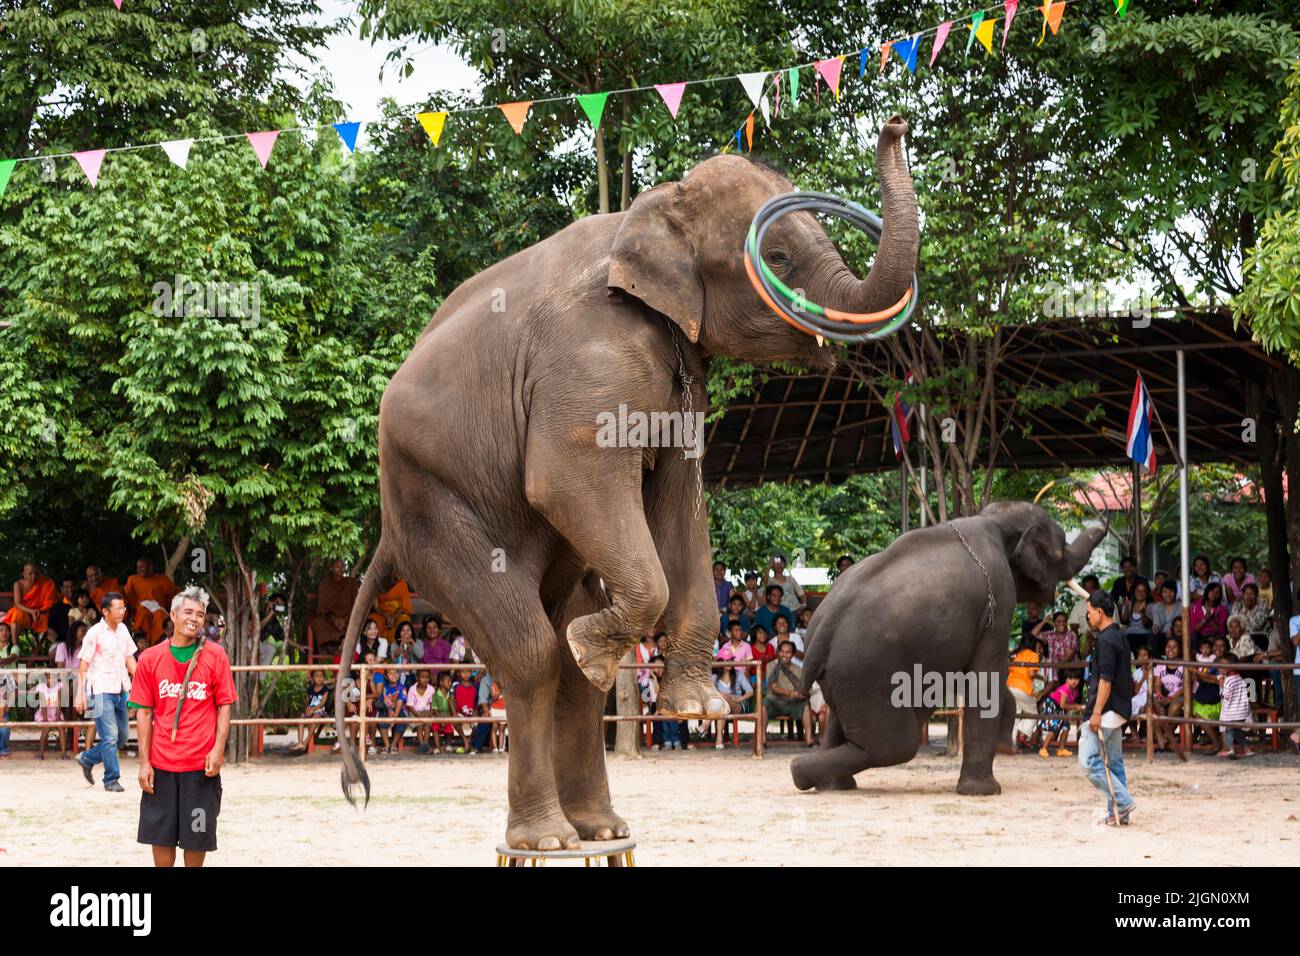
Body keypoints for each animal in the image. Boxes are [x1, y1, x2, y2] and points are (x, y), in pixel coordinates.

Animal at [334, 115, 921, 850]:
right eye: (779, 258)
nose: (896, 125)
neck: (652, 211)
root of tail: (387, 530)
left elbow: (679, 493)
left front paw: (699, 705)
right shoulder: (586, 360)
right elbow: (566, 481)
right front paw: (601, 650)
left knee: (561, 660)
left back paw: (600, 826)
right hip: (435, 509)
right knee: (530, 653)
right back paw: (549, 836)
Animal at [790, 501, 1105, 796]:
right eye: (1060, 547)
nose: (1103, 524)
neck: (993, 520)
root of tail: (823, 624)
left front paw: (1005, 747)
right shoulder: (999, 598)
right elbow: (987, 677)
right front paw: (984, 791)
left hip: (844, 678)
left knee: (844, 725)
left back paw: (831, 784)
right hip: (865, 672)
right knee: (896, 744)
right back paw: (799, 770)